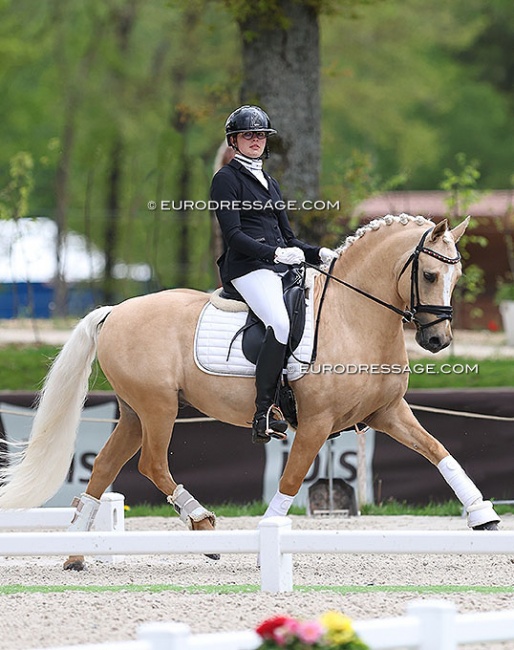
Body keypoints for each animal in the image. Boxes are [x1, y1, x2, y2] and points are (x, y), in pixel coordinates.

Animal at [0, 214, 500, 570]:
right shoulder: (315, 423)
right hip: (158, 408)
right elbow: (292, 480)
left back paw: (76, 552)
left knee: (103, 467)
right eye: (430, 276)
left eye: (456, 278)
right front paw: (269, 537)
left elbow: (439, 452)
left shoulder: (389, 412)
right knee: (152, 465)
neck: (354, 316)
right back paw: (202, 525)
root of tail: (114, 311)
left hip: (135, 413)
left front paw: (483, 515)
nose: (438, 340)